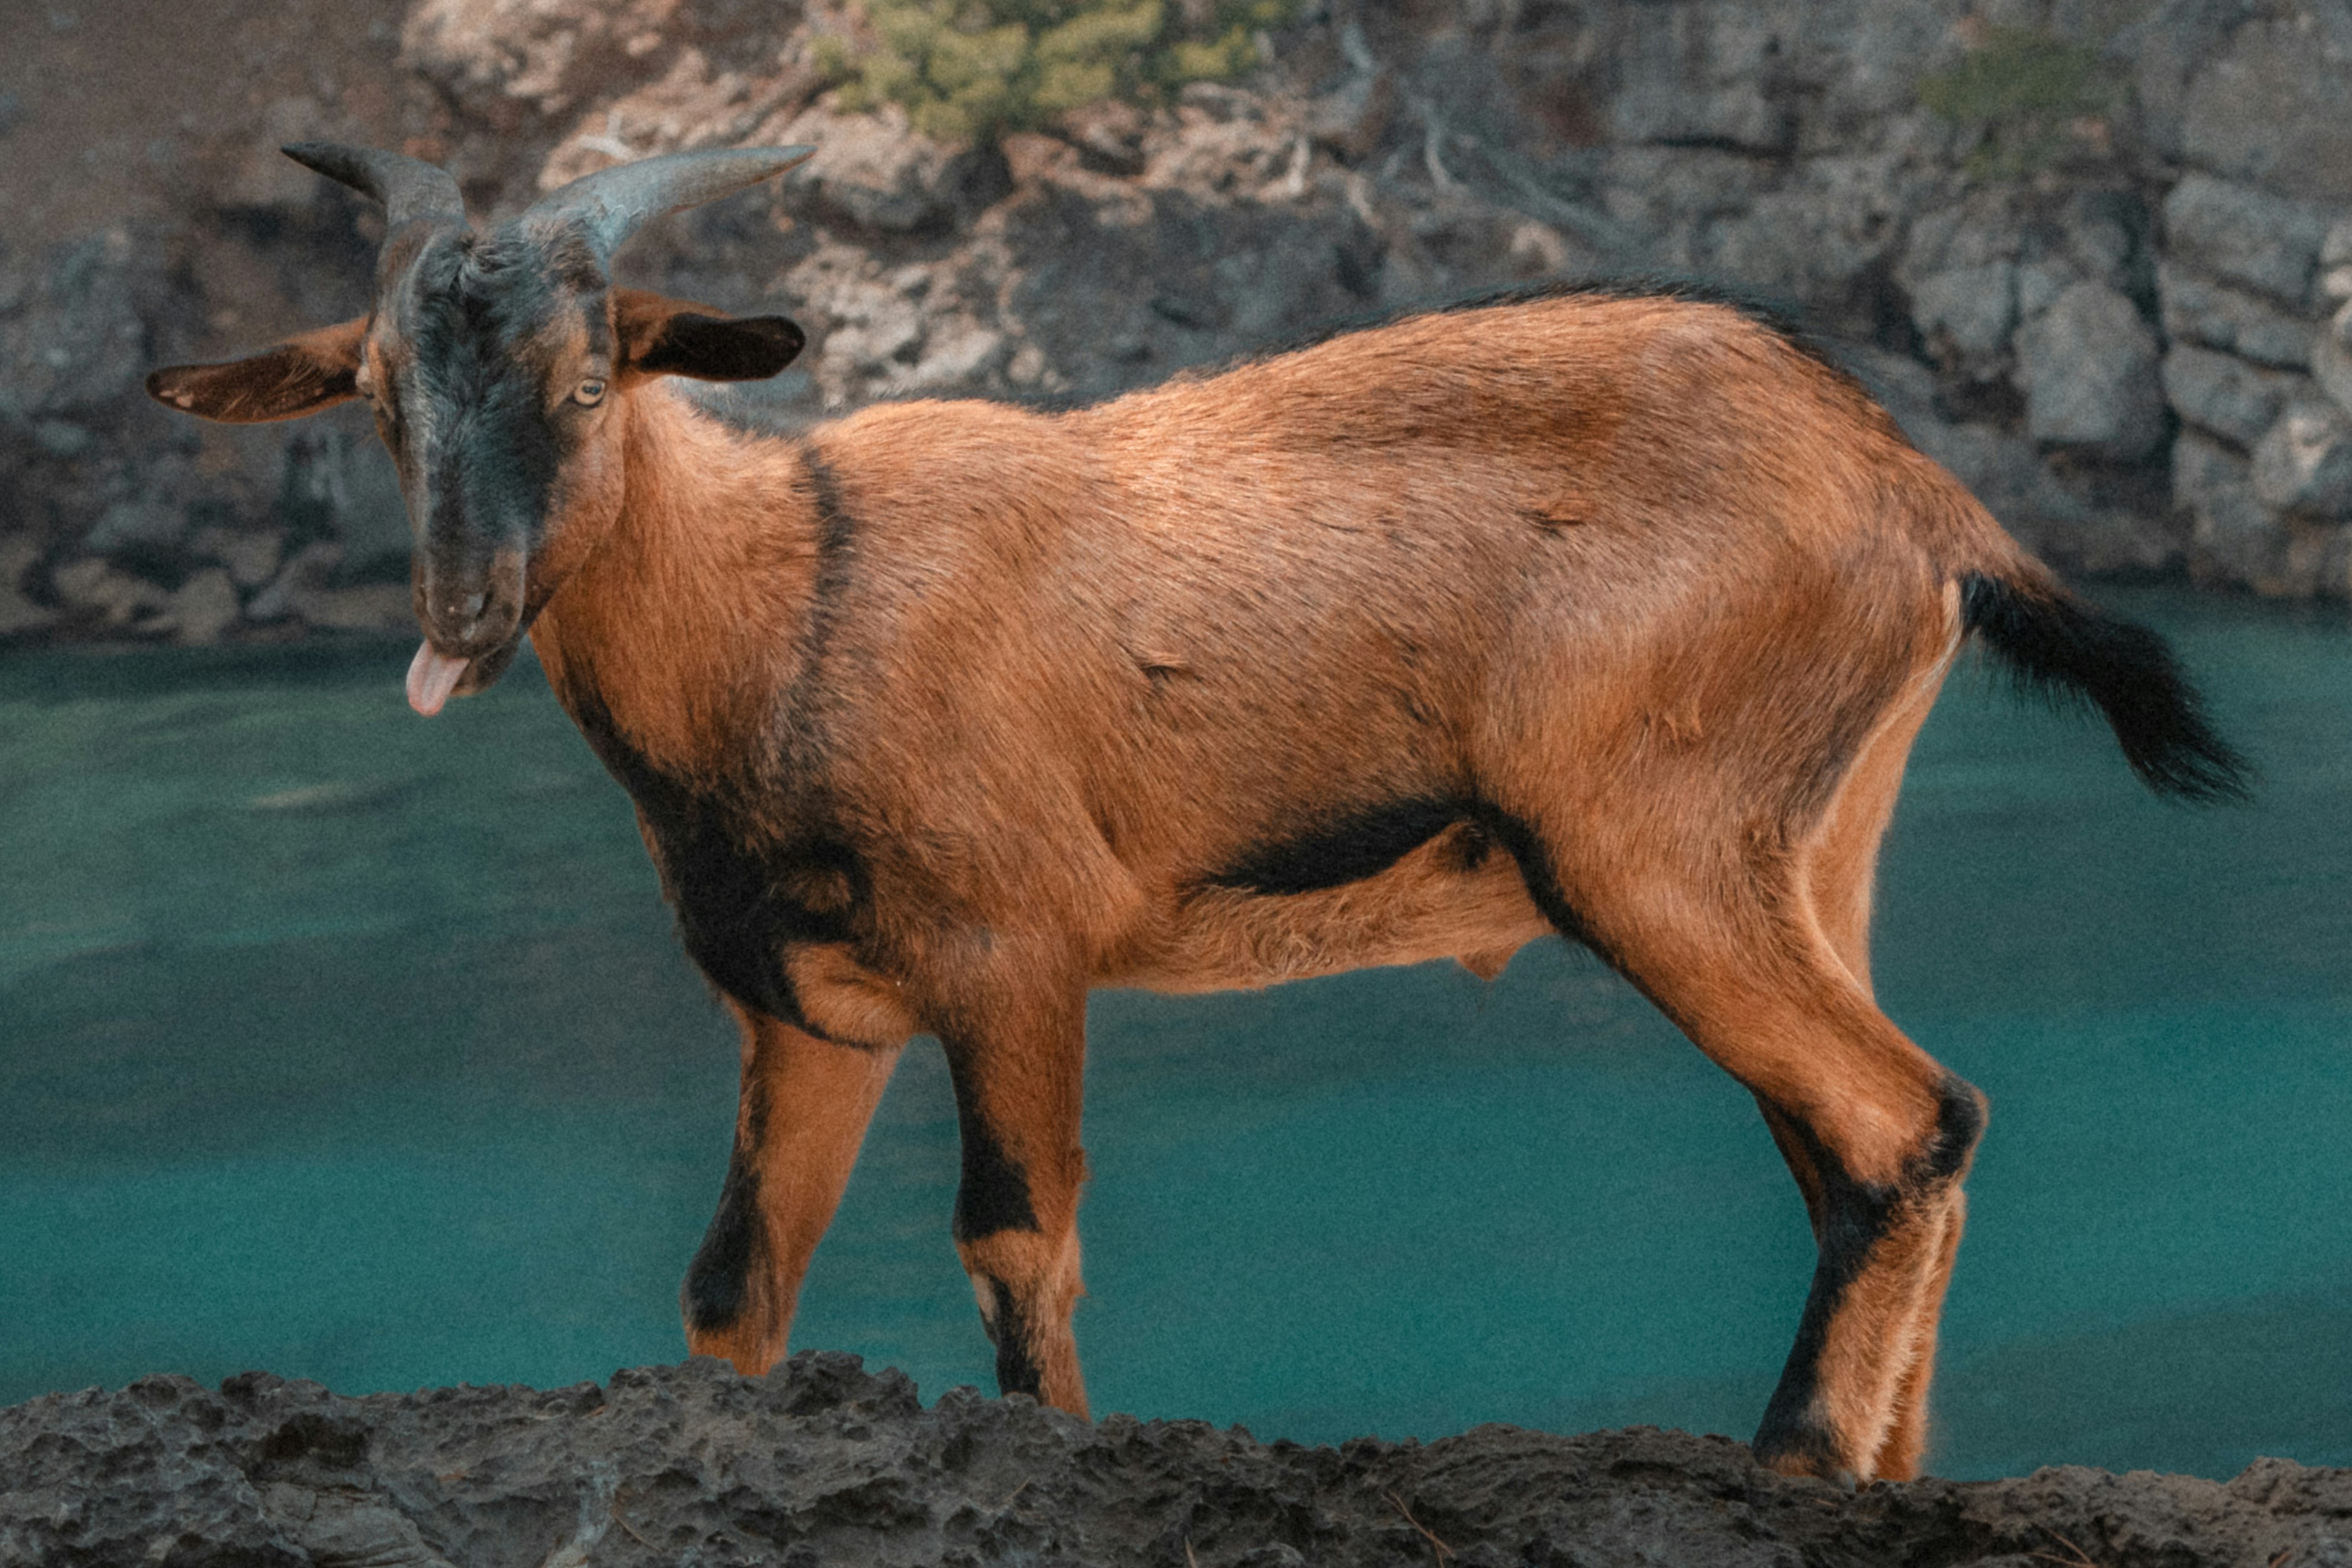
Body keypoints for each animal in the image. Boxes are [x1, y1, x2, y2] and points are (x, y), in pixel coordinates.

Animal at [147, 143, 2245, 1484]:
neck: (788, 598)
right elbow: (734, 1293)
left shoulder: (1014, 952)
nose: (463, 612)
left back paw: (1792, 1459)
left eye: (590, 381)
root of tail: (1912, 490)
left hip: (1651, 841)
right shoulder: (808, 1013)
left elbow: (1015, 1241)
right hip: (1816, 842)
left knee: (1902, 1119)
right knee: (1868, 1145)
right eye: (378, 399)